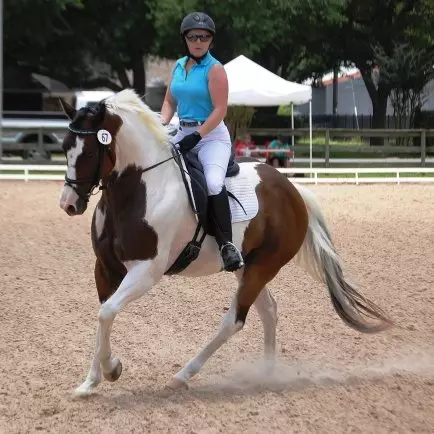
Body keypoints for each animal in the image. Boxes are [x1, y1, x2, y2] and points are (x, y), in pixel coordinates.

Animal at [58, 88, 394, 396]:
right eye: (64, 148)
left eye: (89, 153)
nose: (69, 204)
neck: (139, 189)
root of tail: (292, 189)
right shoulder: (105, 268)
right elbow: (104, 314)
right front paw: (92, 381)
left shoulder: (146, 271)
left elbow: (106, 313)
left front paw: (110, 369)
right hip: (247, 266)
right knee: (268, 310)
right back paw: (267, 374)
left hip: (263, 266)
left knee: (234, 320)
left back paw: (183, 375)